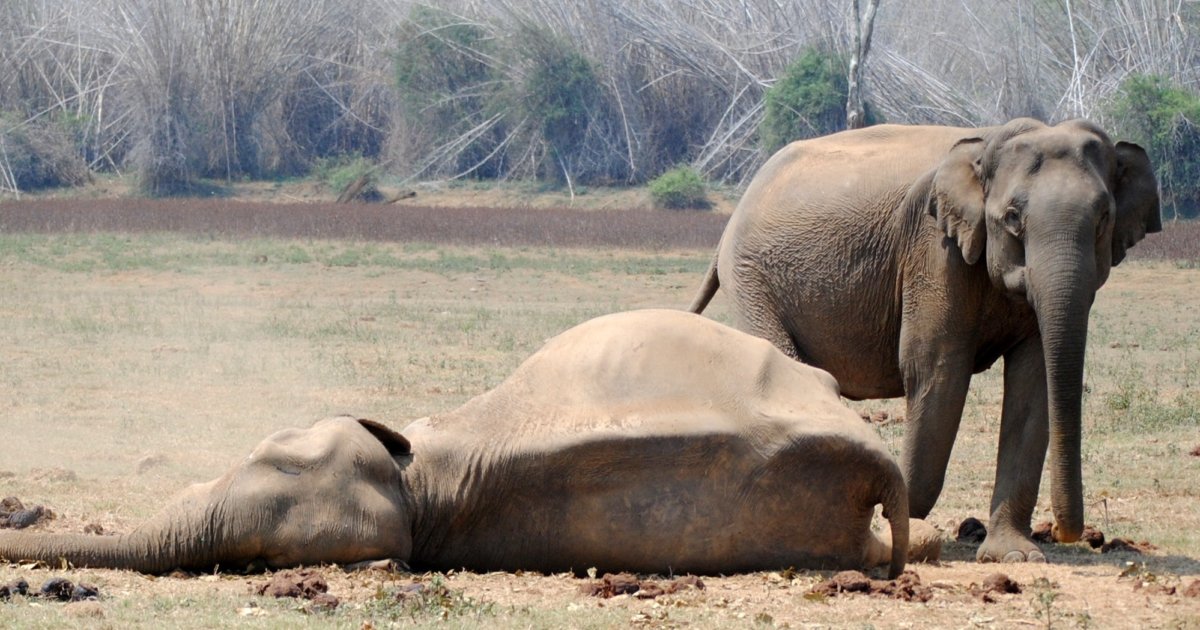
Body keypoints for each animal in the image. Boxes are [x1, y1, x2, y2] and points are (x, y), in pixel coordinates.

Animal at [688, 118, 1161, 563]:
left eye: (1103, 218)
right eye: (1012, 217)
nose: (1068, 532)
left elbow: (1034, 383)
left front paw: (1015, 554)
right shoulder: (933, 248)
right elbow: (937, 366)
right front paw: (902, 528)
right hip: (752, 279)